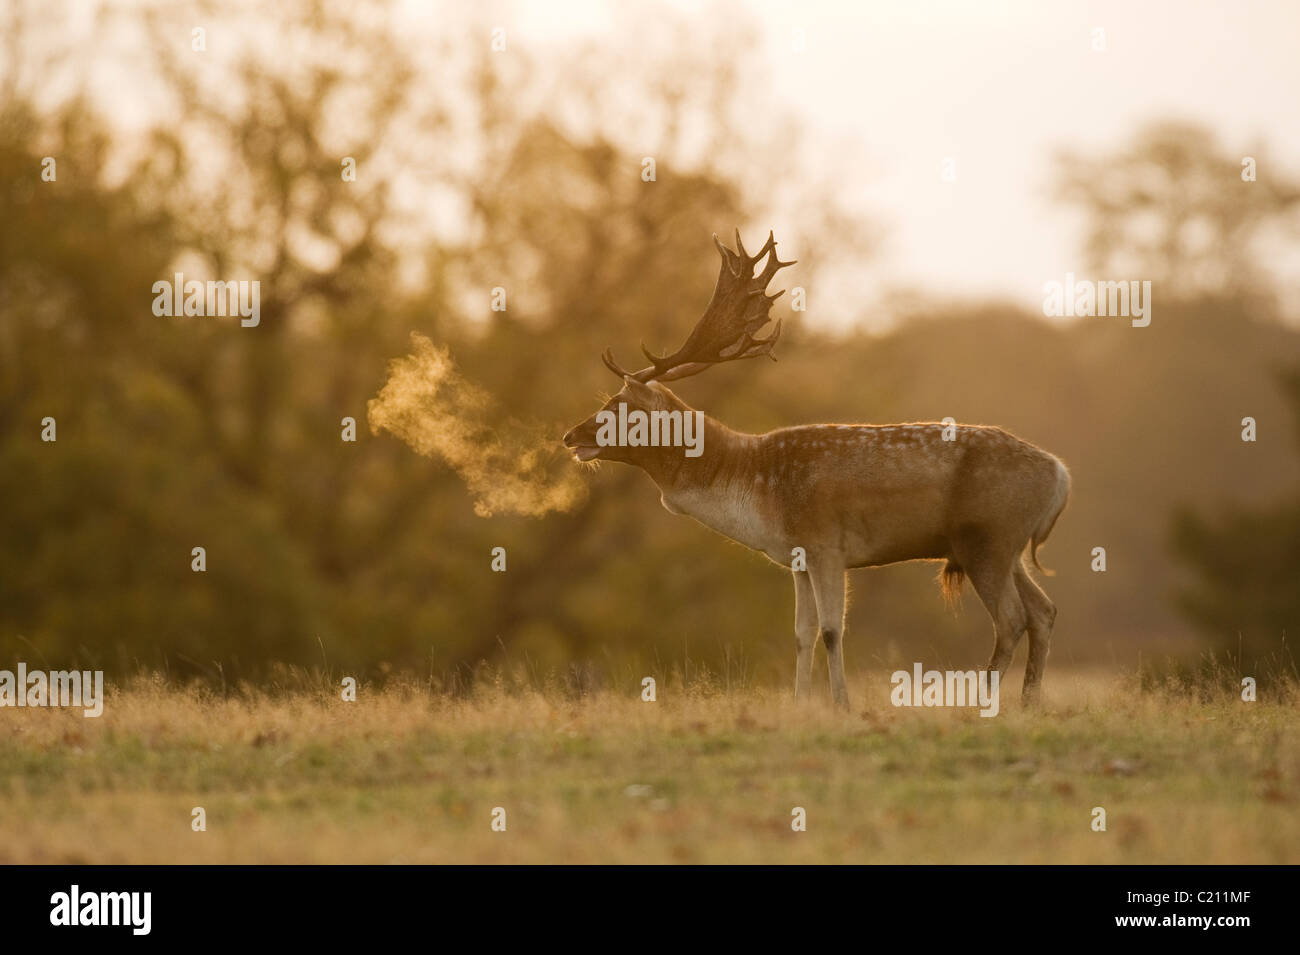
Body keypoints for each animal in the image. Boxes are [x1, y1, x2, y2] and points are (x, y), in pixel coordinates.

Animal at [562, 231, 1071, 709]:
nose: (570, 436)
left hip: (987, 539)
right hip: (1006, 548)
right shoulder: (799, 558)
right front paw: (800, 703)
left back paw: (984, 701)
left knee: (1012, 619)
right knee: (1044, 611)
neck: (753, 487)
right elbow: (802, 633)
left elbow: (831, 629)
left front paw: (841, 704)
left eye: (617, 405)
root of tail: (1060, 474)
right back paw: (1028, 701)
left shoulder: (827, 544)